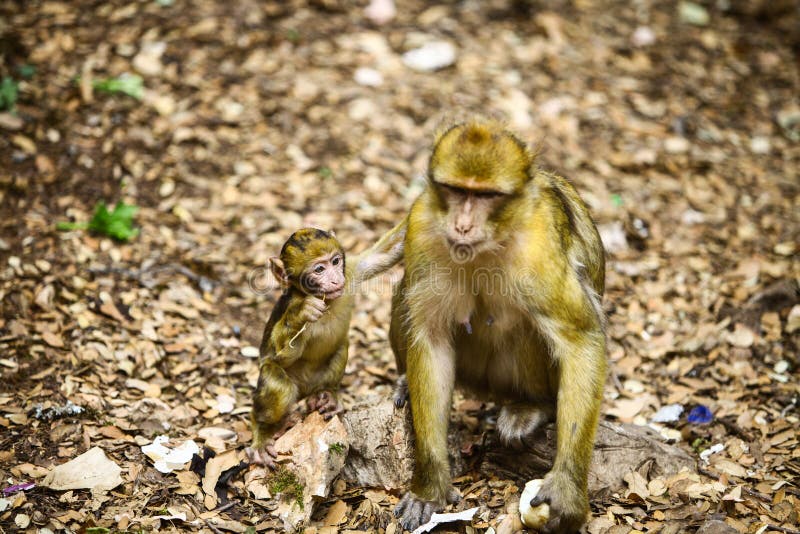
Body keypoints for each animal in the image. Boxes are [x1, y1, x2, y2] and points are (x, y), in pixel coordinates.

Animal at [247, 222, 406, 466]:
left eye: (335, 261)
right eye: (319, 269)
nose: (335, 280)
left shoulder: (352, 271)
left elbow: (387, 252)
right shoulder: (293, 301)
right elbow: (278, 355)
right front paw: (302, 314)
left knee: (341, 345)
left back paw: (327, 395)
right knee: (278, 382)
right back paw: (262, 429)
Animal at [390, 120, 606, 533]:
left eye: (487, 195)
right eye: (457, 190)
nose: (462, 225)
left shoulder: (540, 244)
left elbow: (580, 339)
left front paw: (567, 488)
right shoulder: (420, 224)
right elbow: (431, 340)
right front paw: (430, 486)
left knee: (528, 328)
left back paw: (533, 406)